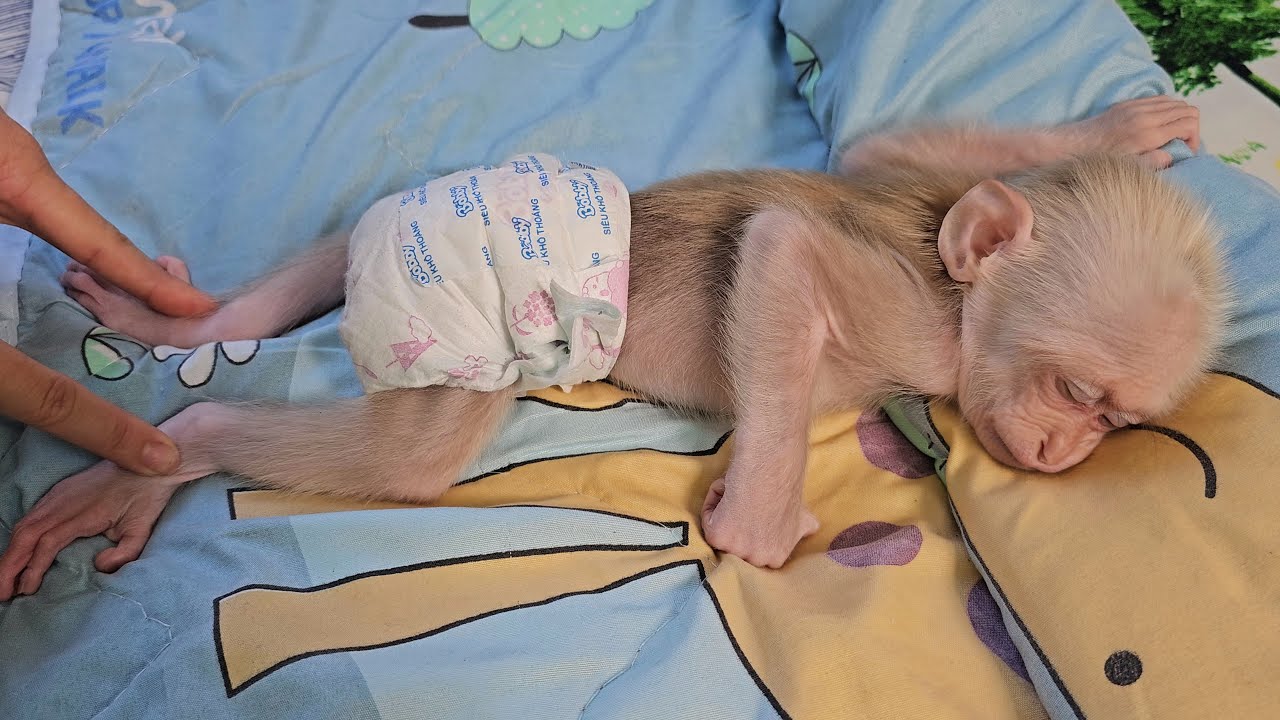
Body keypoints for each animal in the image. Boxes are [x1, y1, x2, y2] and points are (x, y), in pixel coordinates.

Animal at [0, 96, 1228, 599]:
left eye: (1115, 421)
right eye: (1074, 390)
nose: (1066, 453)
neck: (949, 273)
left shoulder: (917, 191)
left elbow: (879, 145)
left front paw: (1113, 136)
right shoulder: (919, 326)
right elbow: (780, 247)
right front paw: (759, 515)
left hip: (379, 236)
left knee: (297, 285)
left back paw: (179, 326)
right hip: (446, 323)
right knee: (408, 458)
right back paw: (180, 440)